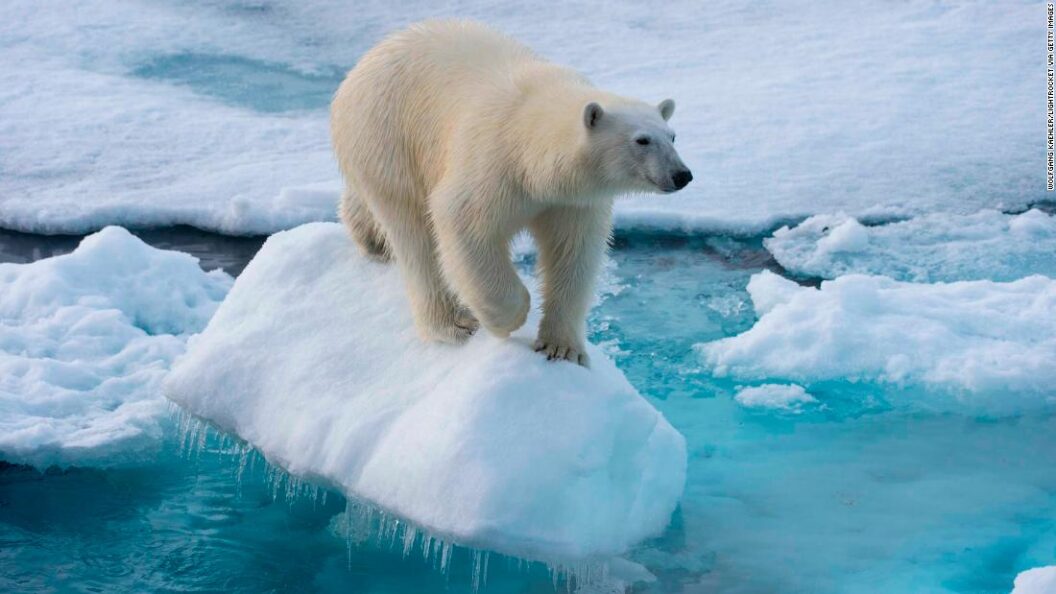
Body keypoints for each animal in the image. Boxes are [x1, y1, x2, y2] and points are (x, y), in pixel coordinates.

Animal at [330, 20, 691, 366]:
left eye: (672, 136)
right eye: (642, 140)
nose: (682, 175)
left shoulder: (571, 201)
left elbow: (573, 254)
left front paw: (563, 347)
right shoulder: (492, 164)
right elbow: (463, 224)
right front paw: (509, 318)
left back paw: (369, 238)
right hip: (388, 138)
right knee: (414, 235)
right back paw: (453, 324)